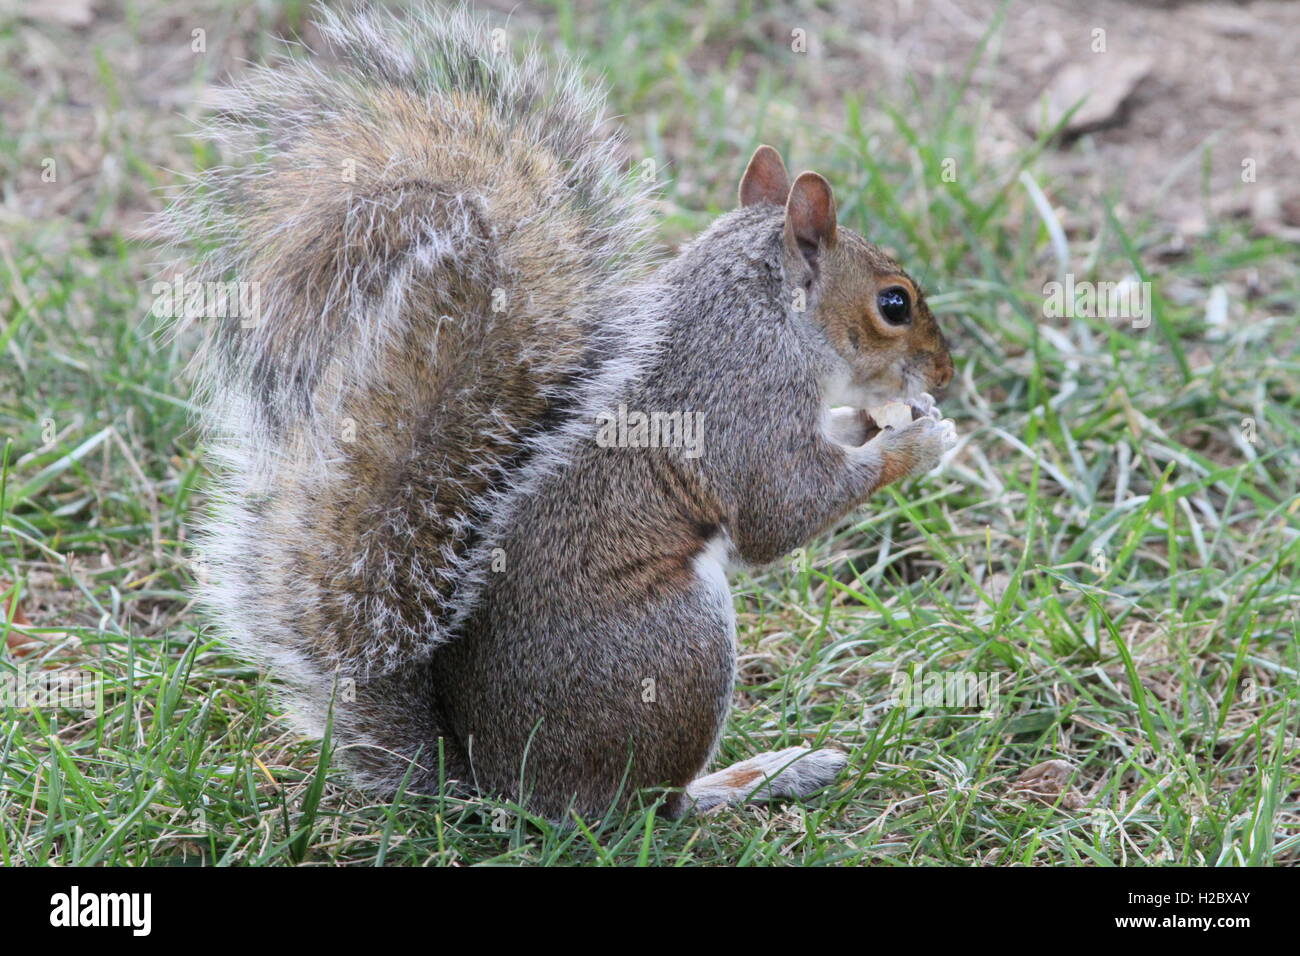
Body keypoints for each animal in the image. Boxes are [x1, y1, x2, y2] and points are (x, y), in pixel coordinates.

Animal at [163, 4, 957, 821]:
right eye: (894, 304)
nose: (948, 371)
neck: (760, 312)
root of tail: (498, 789)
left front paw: (883, 420)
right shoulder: (743, 404)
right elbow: (783, 510)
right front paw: (919, 441)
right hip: (677, 647)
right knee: (651, 810)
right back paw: (748, 781)